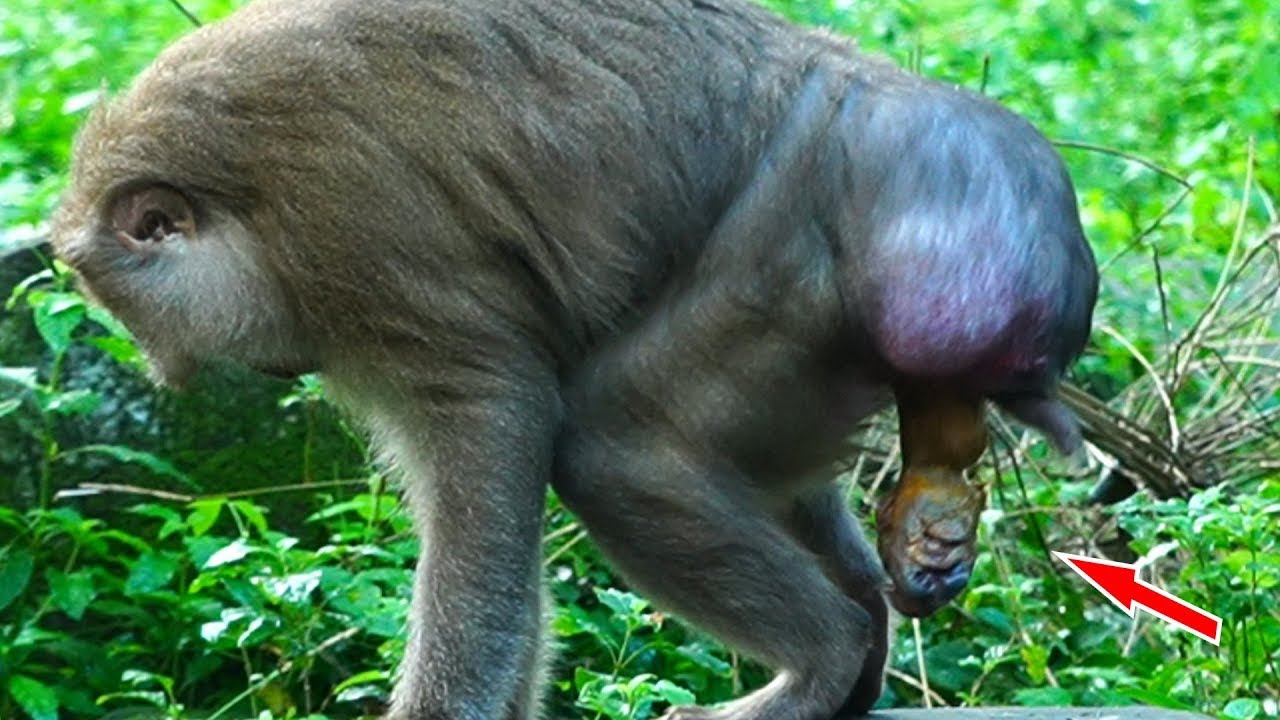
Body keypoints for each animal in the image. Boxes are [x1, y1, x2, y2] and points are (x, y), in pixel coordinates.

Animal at [51, 0, 1098, 718]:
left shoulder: (358, 244)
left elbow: (497, 422)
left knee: (616, 450)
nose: (249, 371)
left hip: (805, 251)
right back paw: (873, 621)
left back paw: (826, 657)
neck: (247, 194)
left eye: (157, 329)